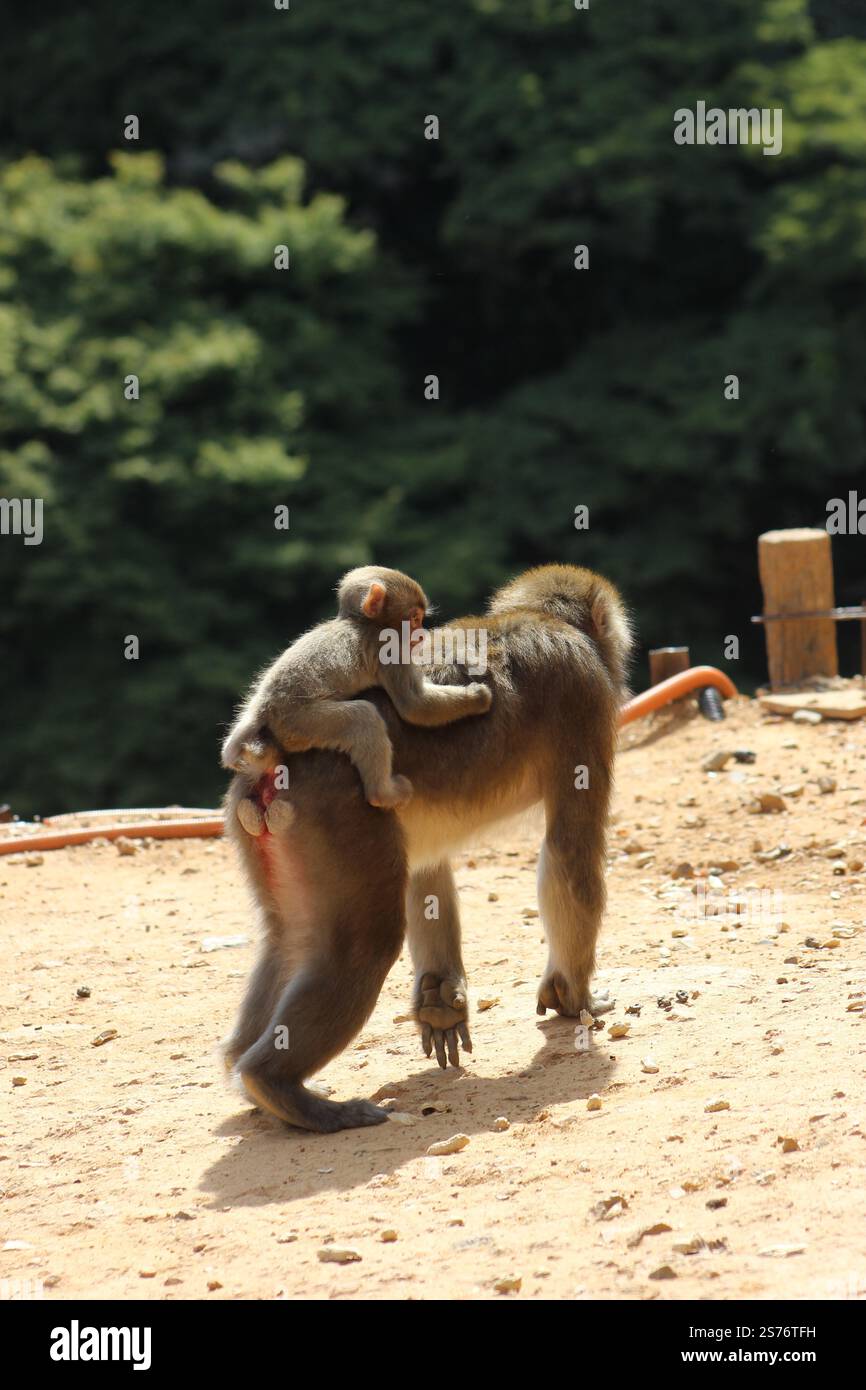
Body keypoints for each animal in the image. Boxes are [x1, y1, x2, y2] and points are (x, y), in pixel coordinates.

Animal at [220, 565, 493, 836]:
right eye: (414, 618)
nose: (421, 634)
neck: (362, 622)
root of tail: (265, 708)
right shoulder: (388, 647)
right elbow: (414, 704)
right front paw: (478, 697)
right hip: (302, 723)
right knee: (364, 717)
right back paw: (383, 793)